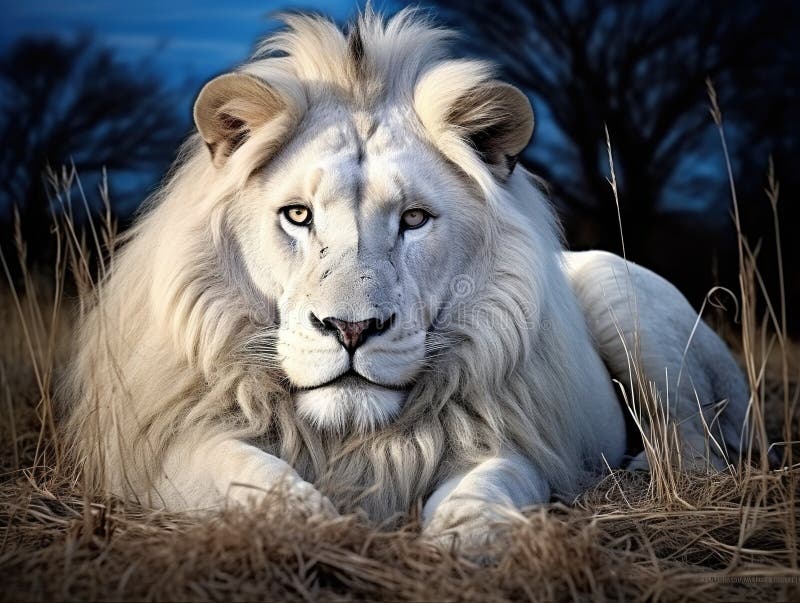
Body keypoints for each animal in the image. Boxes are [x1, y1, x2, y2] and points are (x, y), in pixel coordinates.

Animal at [63, 10, 750, 543]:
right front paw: (312, 529)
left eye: (414, 219)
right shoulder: (159, 447)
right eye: (298, 215)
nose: (350, 329)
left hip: (618, 292)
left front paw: (470, 540)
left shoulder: (513, 436)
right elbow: (248, 474)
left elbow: (493, 483)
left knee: (697, 449)